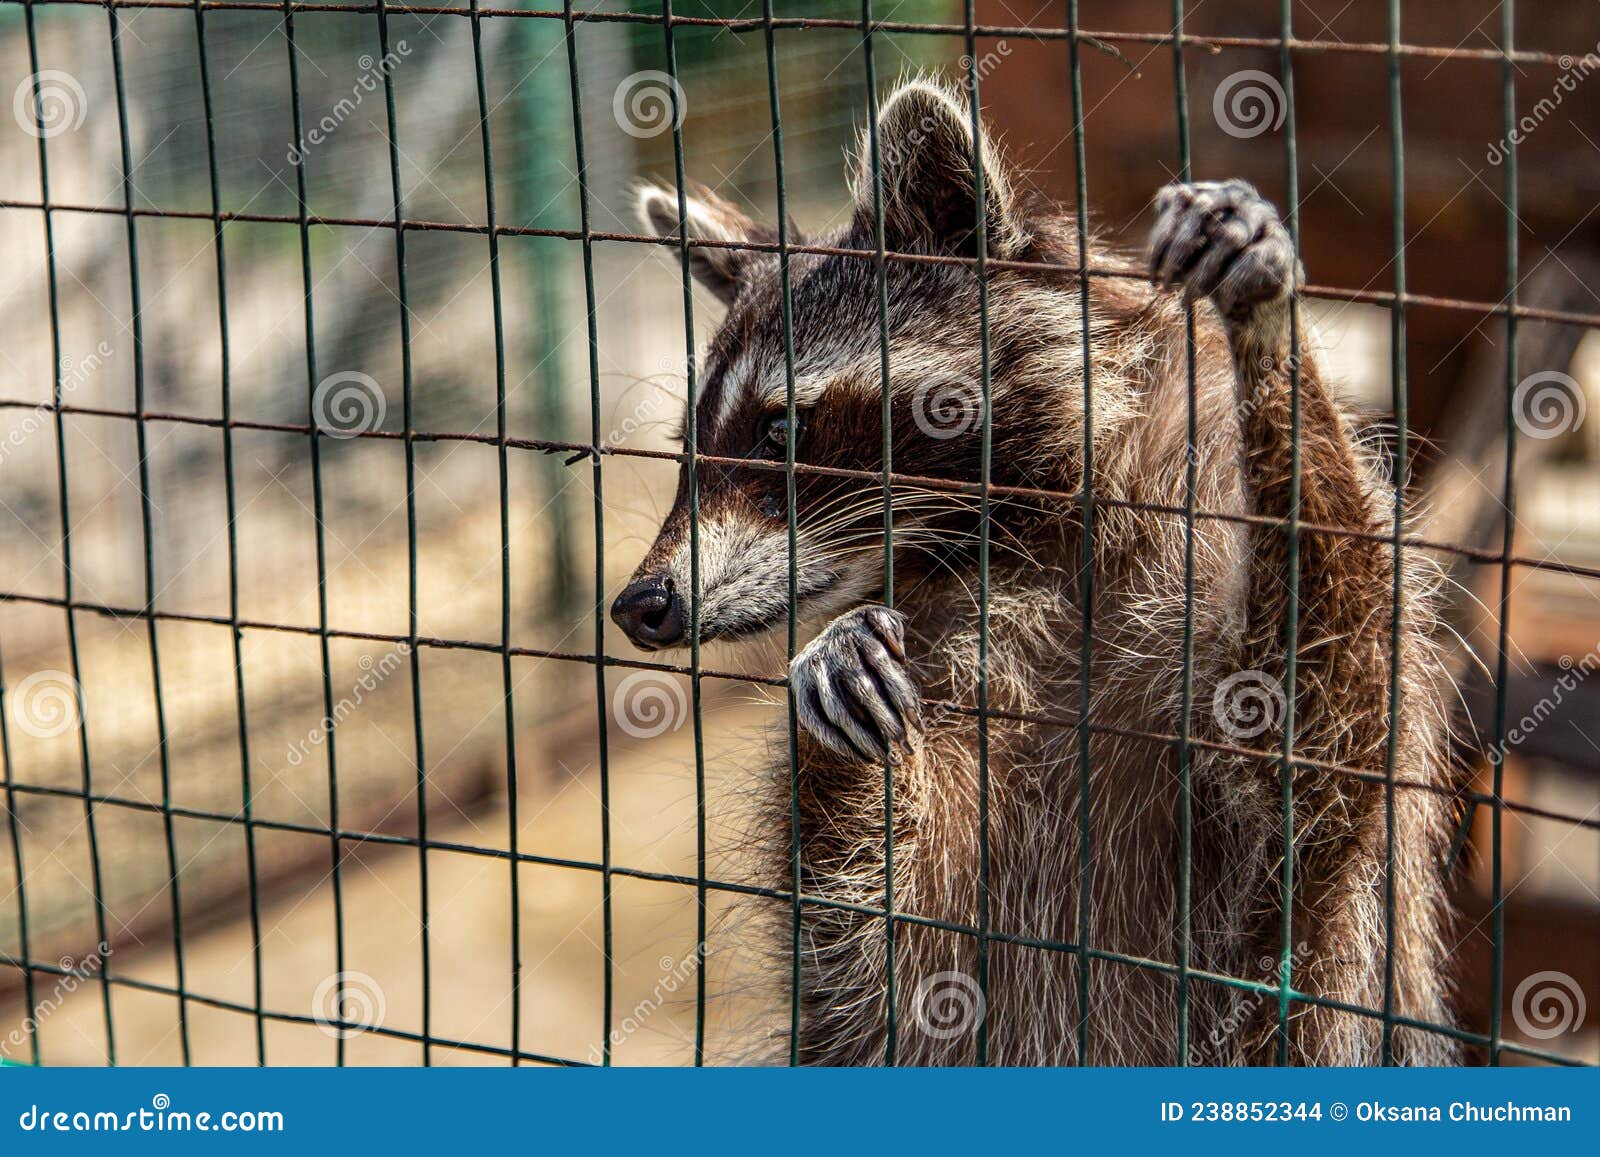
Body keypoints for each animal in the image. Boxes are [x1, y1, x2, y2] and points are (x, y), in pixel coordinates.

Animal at [614, 78, 1459, 1065]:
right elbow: (874, 923)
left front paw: (1270, 336)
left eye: (781, 429)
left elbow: (1325, 740)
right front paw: (829, 680)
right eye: (689, 447)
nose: (640, 603)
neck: (1017, 532)